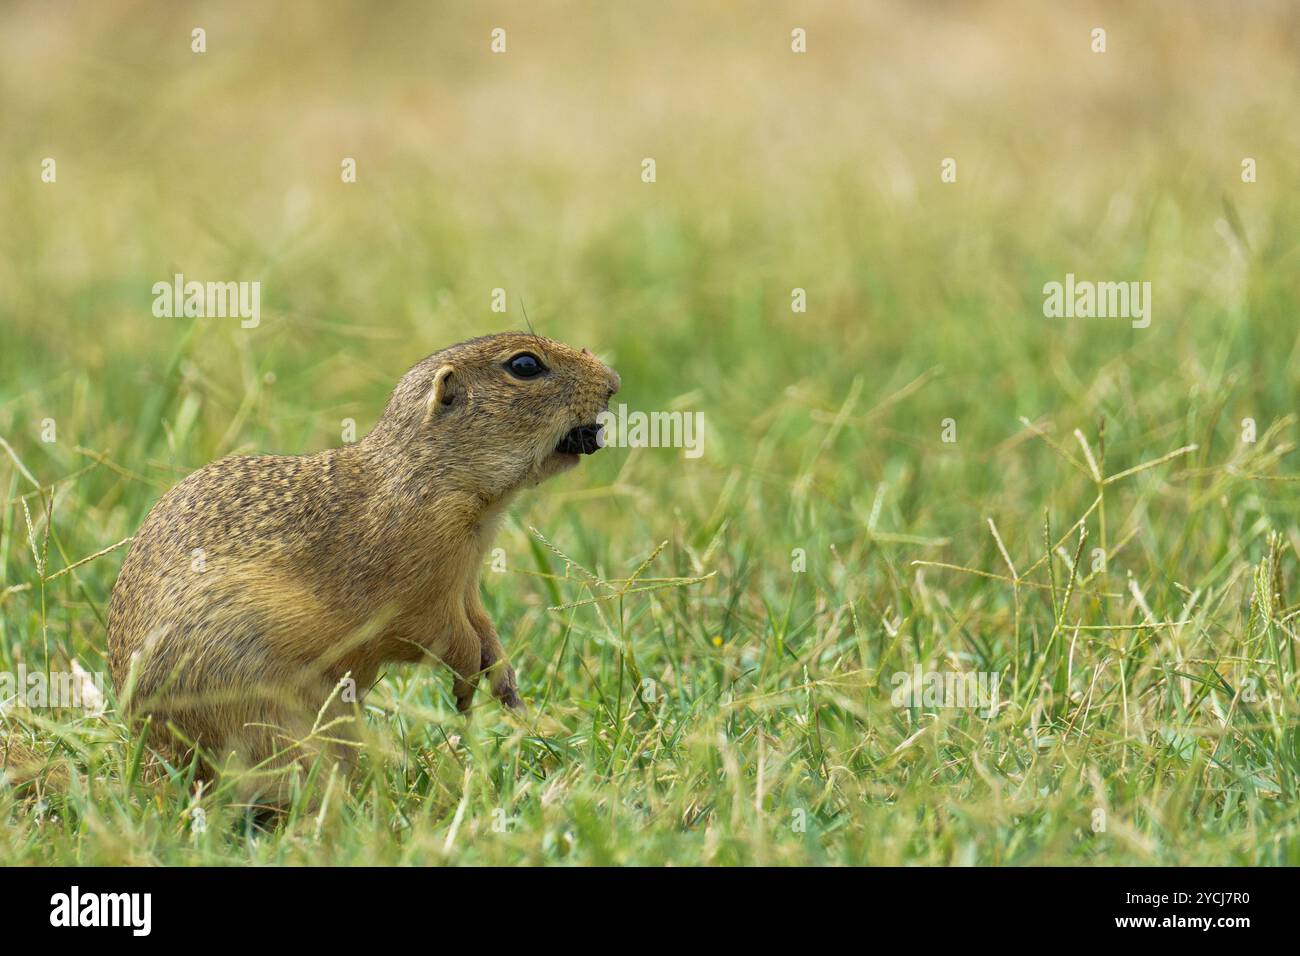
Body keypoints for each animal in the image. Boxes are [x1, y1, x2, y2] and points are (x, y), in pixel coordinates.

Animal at [106, 332, 620, 796]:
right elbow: (442, 633)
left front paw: (505, 682)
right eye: (525, 365)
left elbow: (481, 623)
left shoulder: (465, 582)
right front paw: (468, 685)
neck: (431, 479)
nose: (613, 380)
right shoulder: (414, 587)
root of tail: (150, 768)